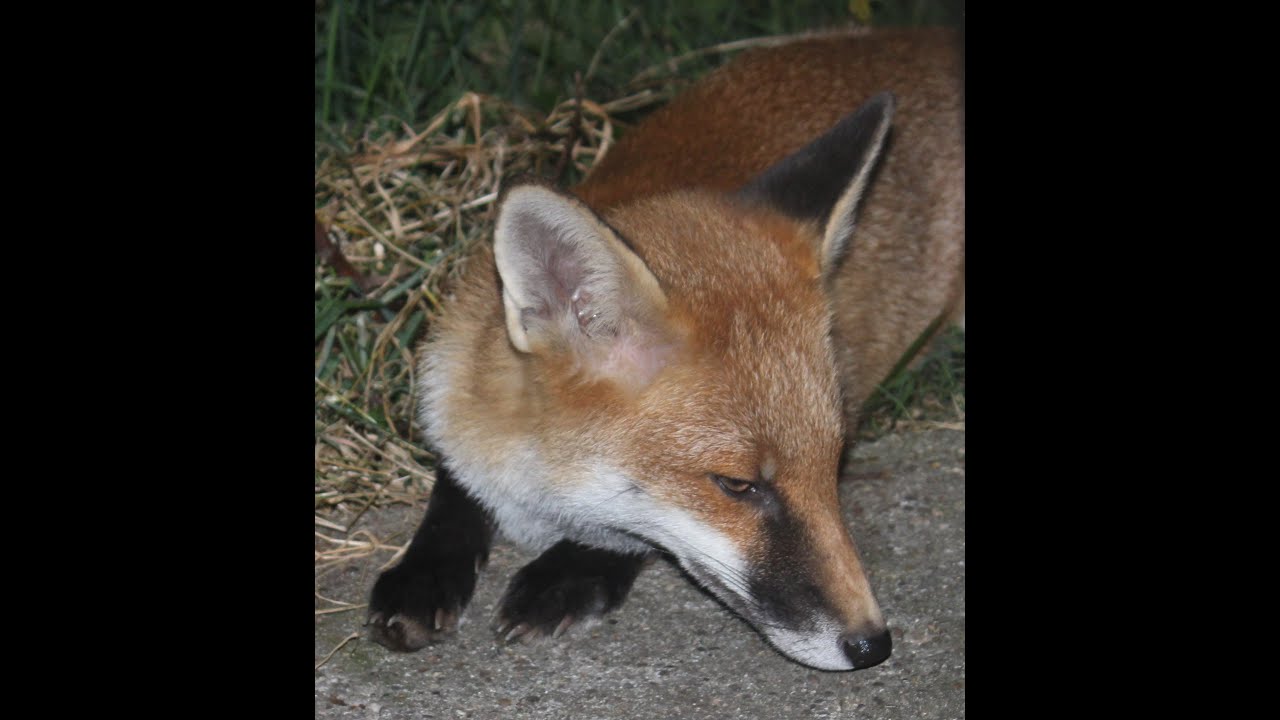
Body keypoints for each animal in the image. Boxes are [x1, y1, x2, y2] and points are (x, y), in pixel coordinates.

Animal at [367, 27, 964, 672]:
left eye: (837, 461)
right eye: (737, 485)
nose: (872, 643)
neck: (534, 484)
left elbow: (629, 539)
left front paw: (568, 577)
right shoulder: (452, 401)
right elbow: (453, 490)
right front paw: (422, 576)